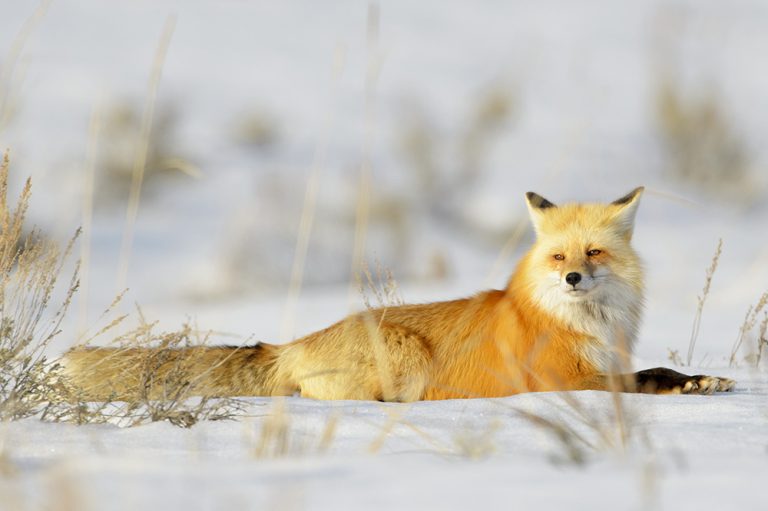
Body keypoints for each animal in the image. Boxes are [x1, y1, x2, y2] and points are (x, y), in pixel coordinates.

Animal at [63, 187, 735, 401]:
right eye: (557, 257)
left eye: (592, 253)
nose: (572, 278)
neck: (585, 324)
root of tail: (292, 344)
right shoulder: (561, 380)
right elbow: (643, 381)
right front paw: (684, 387)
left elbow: (658, 369)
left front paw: (703, 381)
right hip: (404, 357)